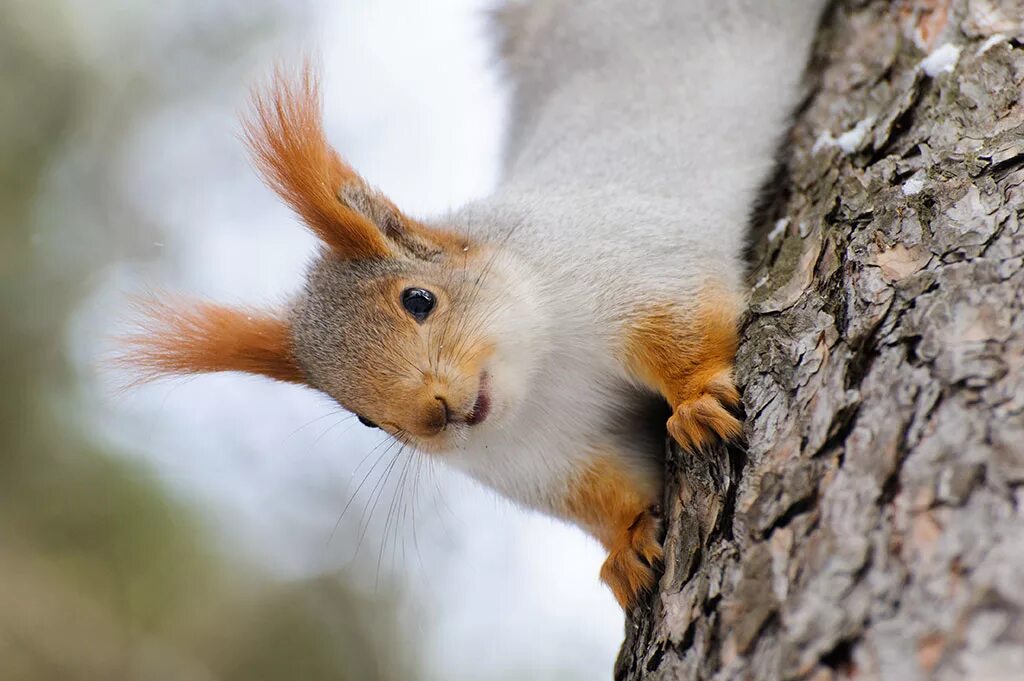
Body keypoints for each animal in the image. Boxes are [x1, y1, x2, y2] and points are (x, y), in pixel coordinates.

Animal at [125, 1, 823, 610]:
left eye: (419, 299)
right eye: (363, 421)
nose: (435, 414)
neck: (540, 378)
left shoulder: (631, 269)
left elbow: (683, 327)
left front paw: (697, 398)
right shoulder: (541, 458)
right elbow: (601, 493)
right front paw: (626, 544)